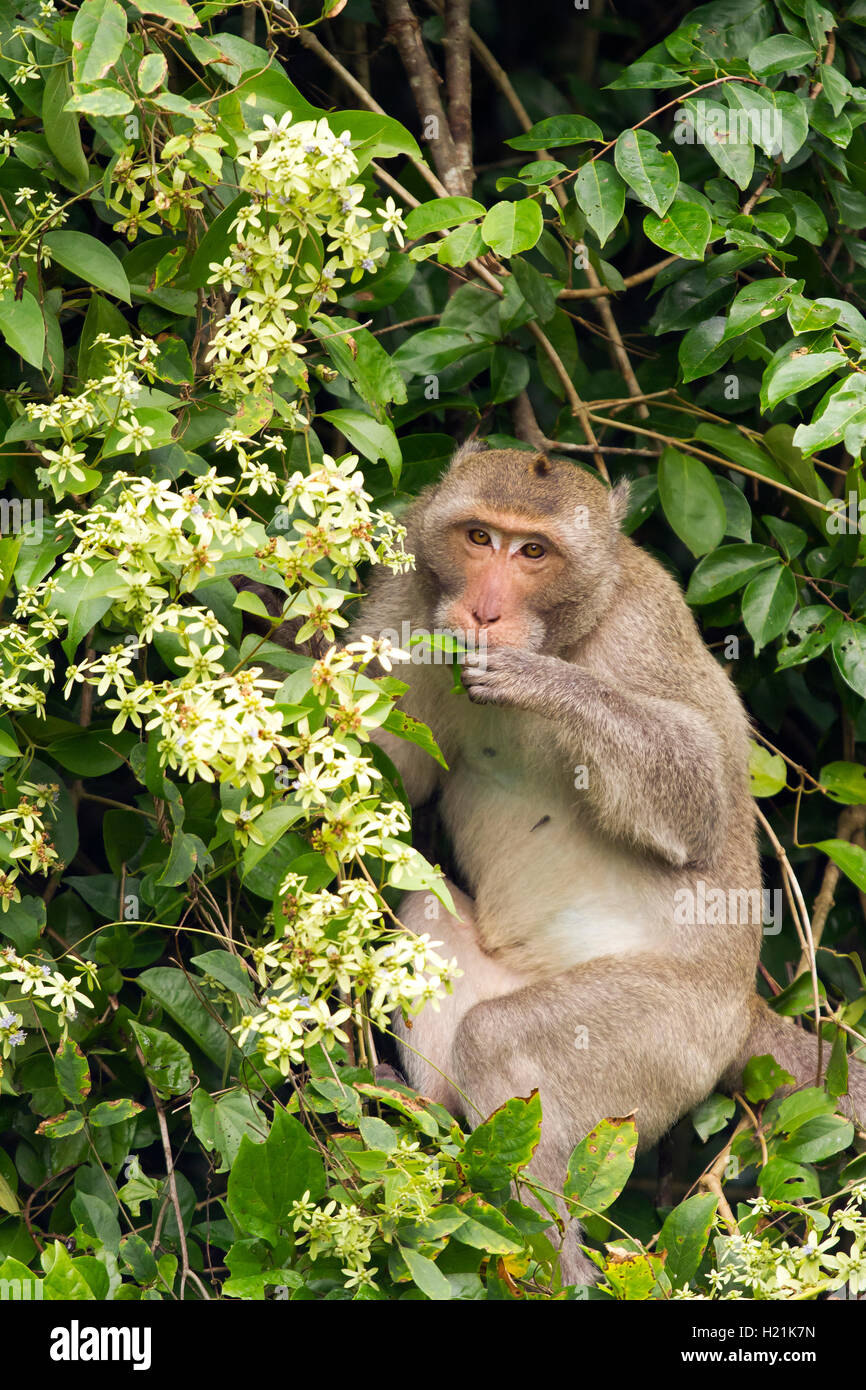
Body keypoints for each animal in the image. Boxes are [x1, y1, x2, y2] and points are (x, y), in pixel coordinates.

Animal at [350, 441, 866, 1284]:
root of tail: (744, 1008)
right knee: (425, 910)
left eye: (534, 553)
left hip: (668, 1042)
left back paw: (550, 1268)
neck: (565, 634)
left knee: (504, 1047)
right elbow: (382, 773)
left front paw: (543, 683)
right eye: (479, 539)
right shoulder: (406, 602)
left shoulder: (644, 627)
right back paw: (423, 1117)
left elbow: (698, 798)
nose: (484, 613)